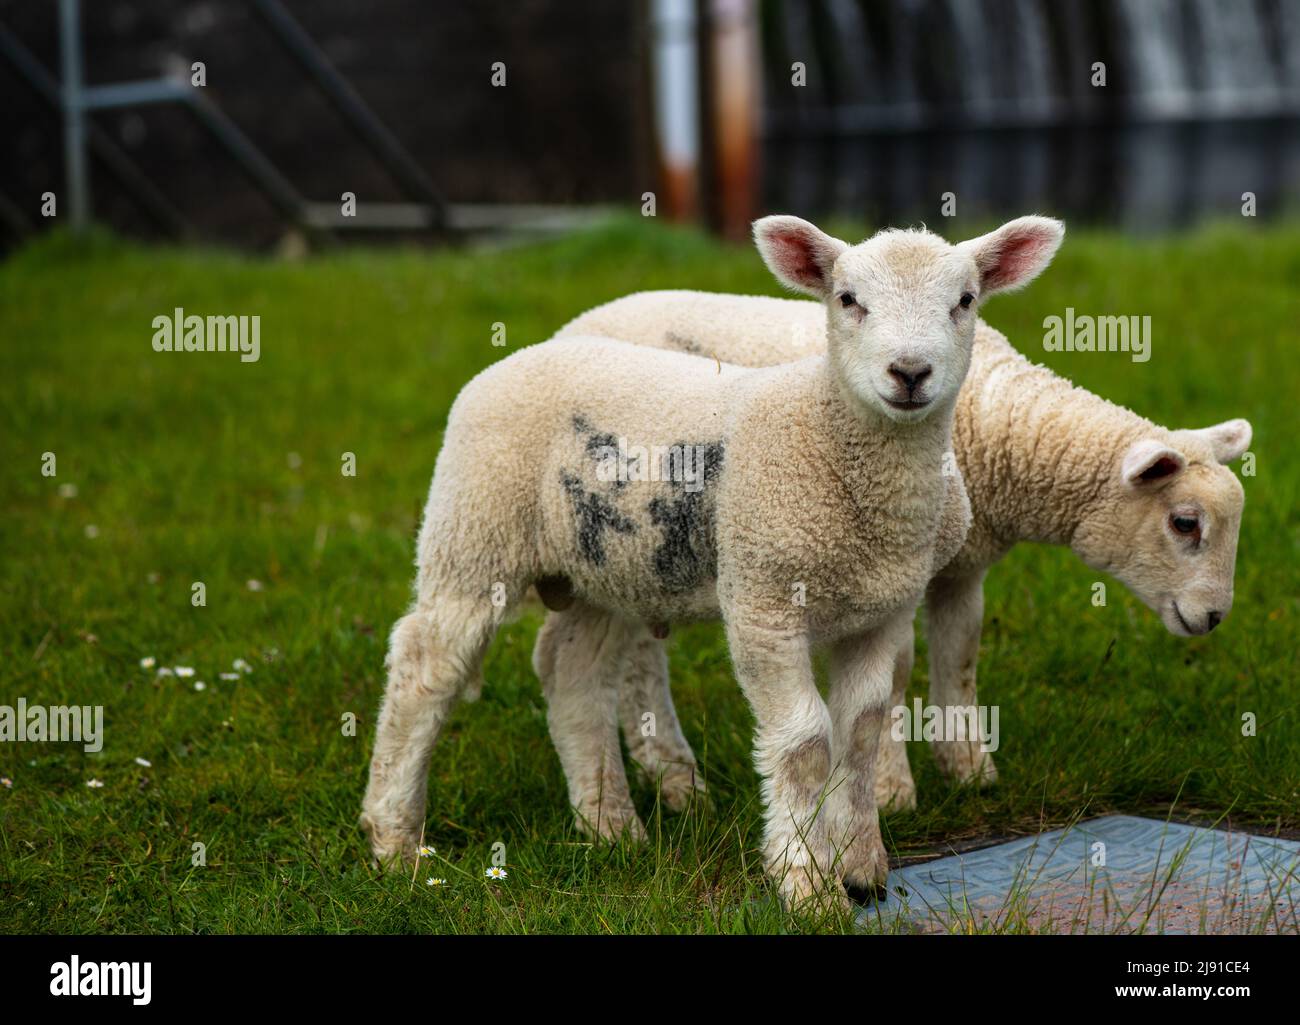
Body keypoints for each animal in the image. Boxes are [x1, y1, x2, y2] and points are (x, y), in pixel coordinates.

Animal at [361, 214, 1065, 908]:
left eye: (965, 301)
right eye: (847, 300)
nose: (910, 372)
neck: (828, 435)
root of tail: (525, 352)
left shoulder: (883, 610)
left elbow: (861, 731)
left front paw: (861, 864)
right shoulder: (763, 601)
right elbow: (805, 741)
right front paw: (806, 883)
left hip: (604, 566)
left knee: (572, 673)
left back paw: (610, 826)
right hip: (476, 529)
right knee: (426, 666)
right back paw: (394, 840)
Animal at [543, 288, 1251, 812]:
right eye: (1185, 523)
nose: (1215, 617)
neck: (999, 432)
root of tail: (562, 331)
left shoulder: (963, 568)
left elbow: (961, 654)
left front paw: (969, 768)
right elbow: (899, 670)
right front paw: (891, 790)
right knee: (629, 658)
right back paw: (674, 778)